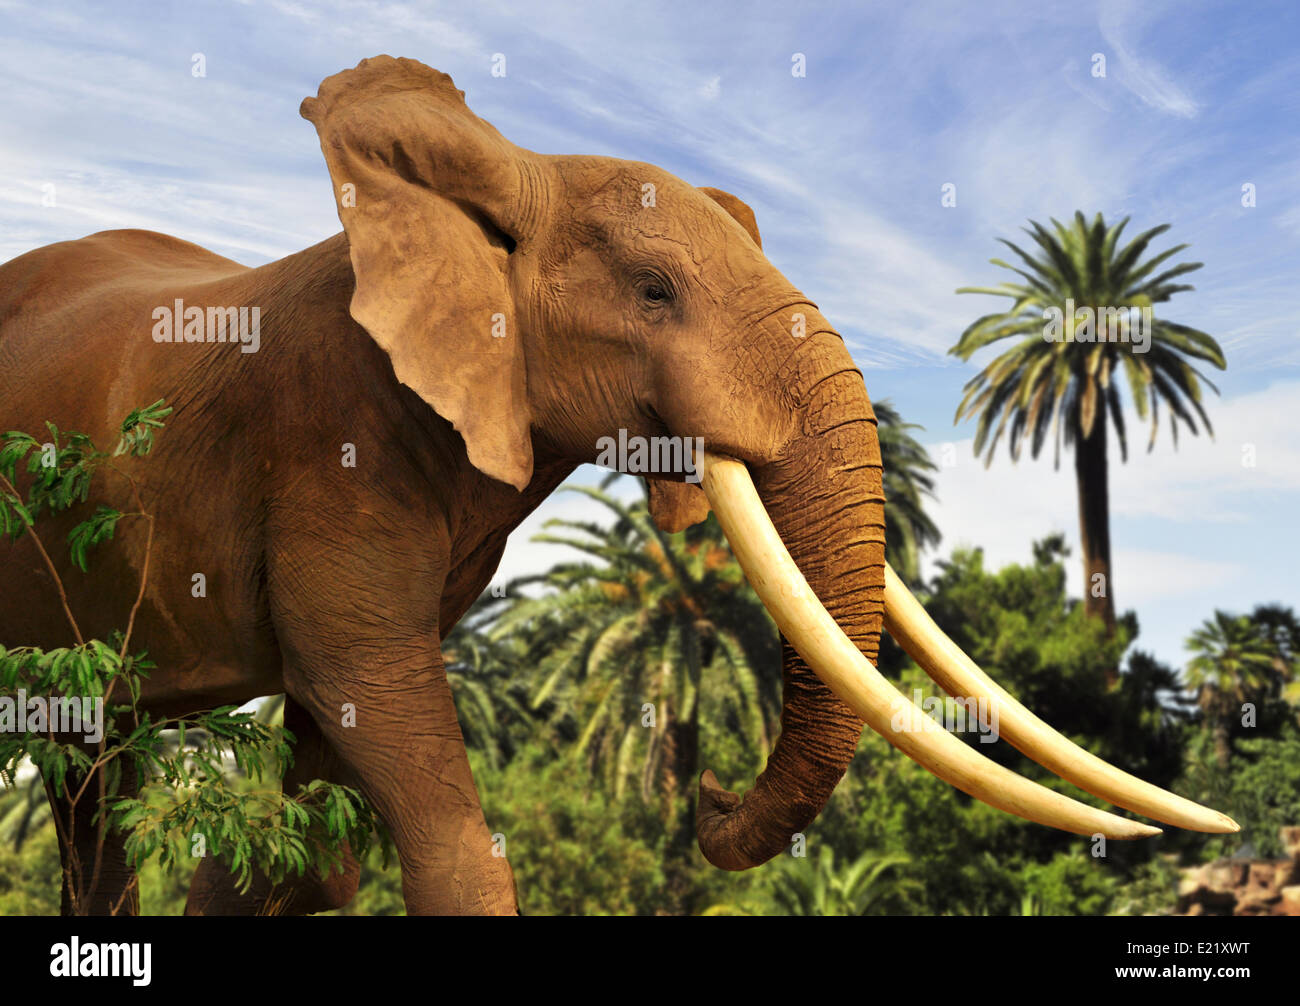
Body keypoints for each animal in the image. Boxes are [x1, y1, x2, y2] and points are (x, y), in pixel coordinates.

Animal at [0, 56, 1235, 916]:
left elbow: (312, 826)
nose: (709, 793)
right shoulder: (329, 452)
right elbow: (381, 732)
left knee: (88, 769)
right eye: (652, 293)